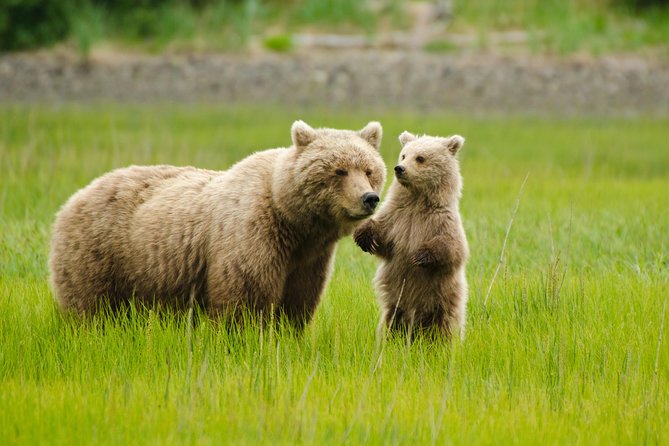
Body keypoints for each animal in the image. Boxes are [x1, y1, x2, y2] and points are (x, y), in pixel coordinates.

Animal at [49, 120, 387, 329]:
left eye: (369, 170)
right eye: (339, 170)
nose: (369, 198)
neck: (294, 221)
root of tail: (73, 197)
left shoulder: (308, 259)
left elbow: (298, 301)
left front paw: (286, 334)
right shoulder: (253, 235)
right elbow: (245, 297)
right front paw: (247, 337)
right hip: (100, 251)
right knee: (90, 306)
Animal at [353, 131, 469, 339]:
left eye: (420, 158)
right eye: (404, 155)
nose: (399, 168)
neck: (417, 200)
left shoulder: (442, 222)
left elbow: (453, 249)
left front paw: (420, 255)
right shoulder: (397, 218)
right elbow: (382, 235)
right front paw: (366, 238)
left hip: (444, 299)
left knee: (445, 325)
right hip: (395, 303)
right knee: (391, 322)